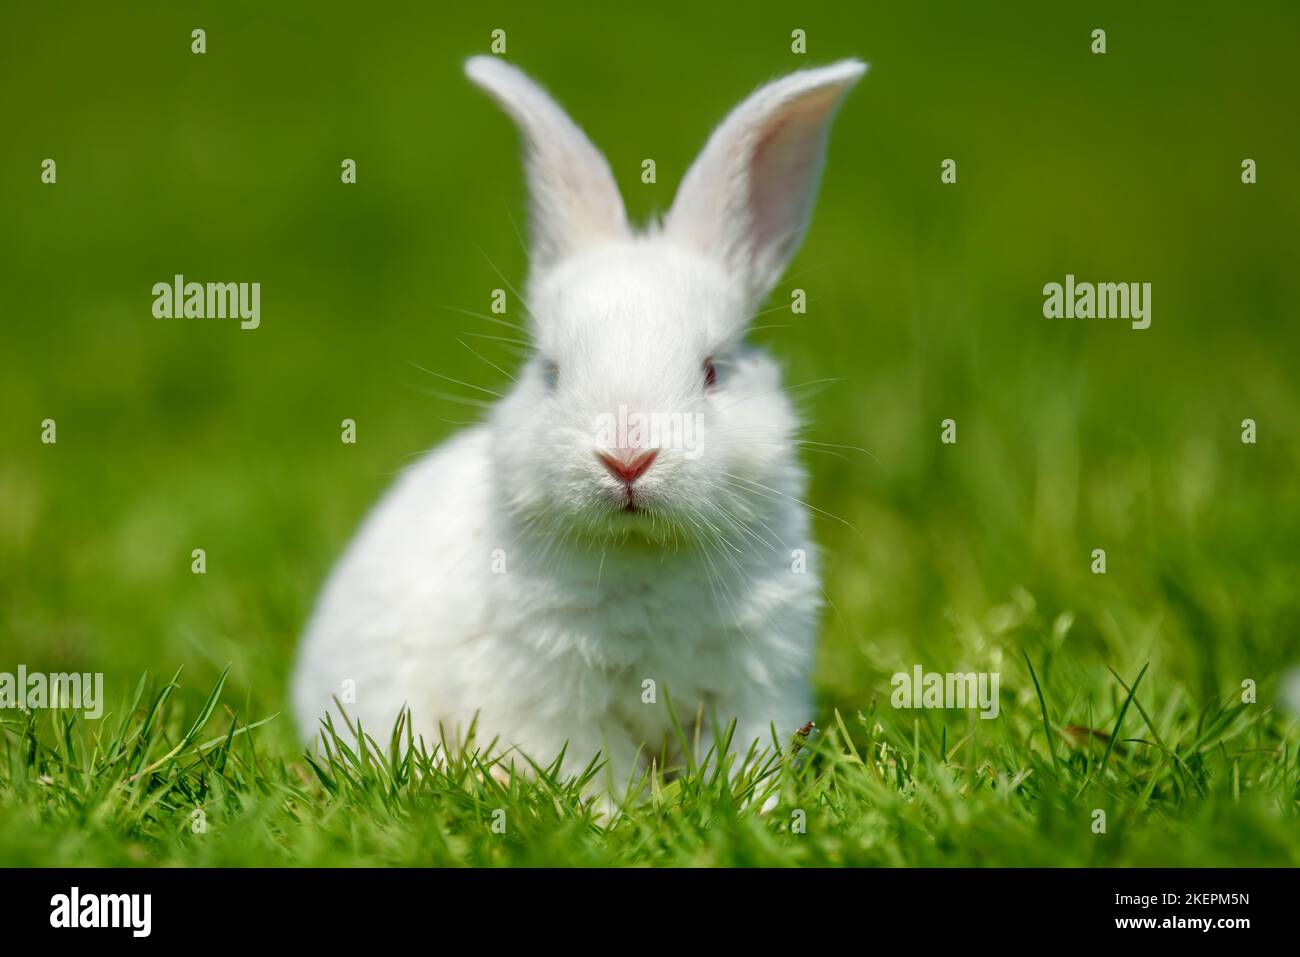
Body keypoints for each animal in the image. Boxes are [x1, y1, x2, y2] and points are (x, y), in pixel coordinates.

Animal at [292, 55, 866, 800]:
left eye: (714, 370)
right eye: (551, 372)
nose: (627, 458)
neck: (643, 553)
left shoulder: (757, 683)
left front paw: (753, 806)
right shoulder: (552, 701)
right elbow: (593, 769)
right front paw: (612, 814)